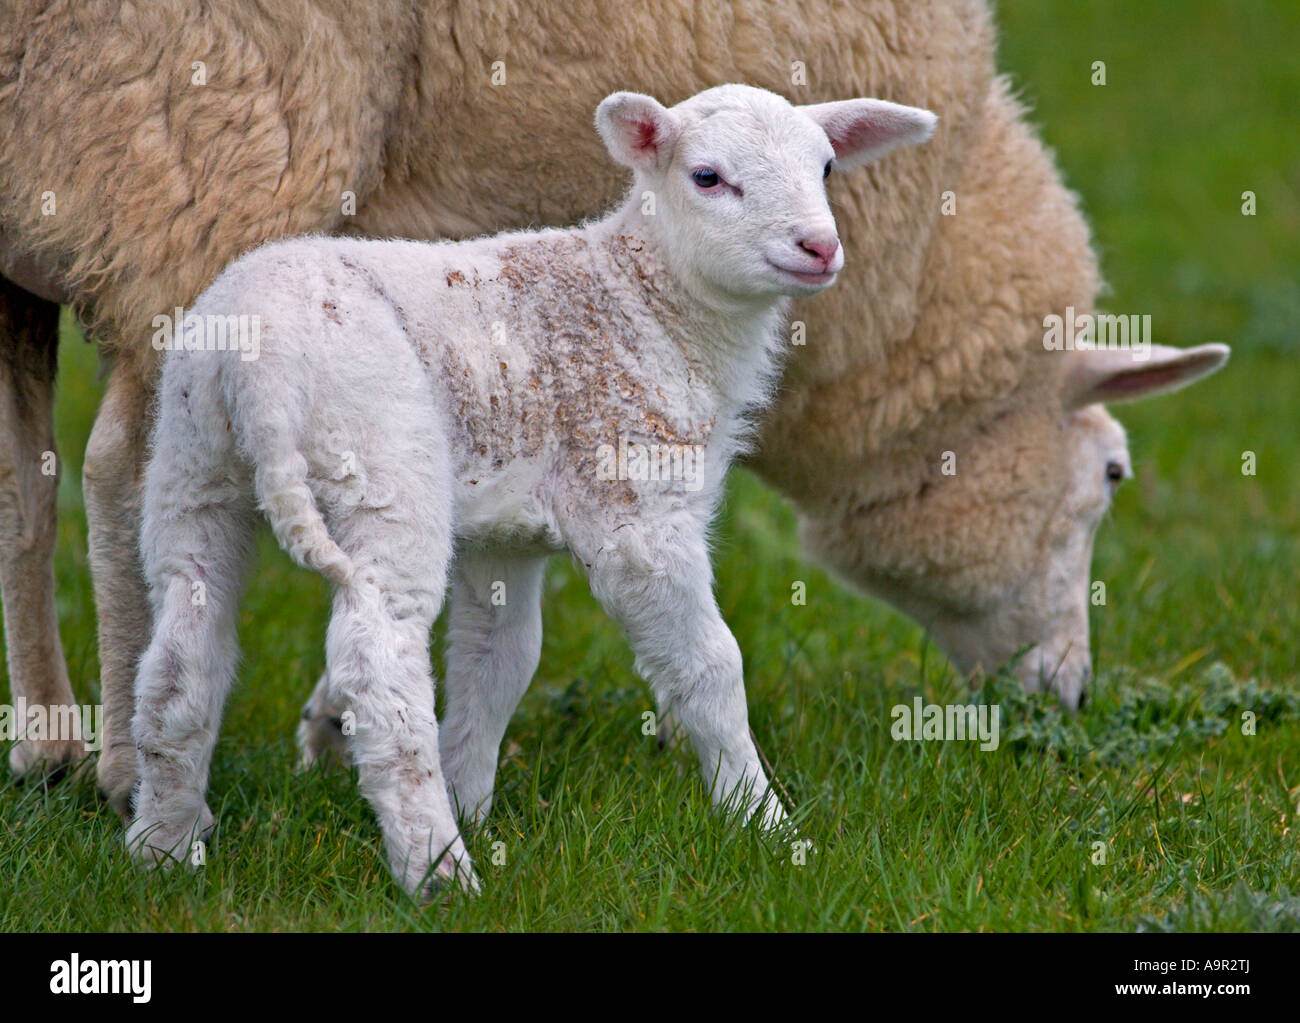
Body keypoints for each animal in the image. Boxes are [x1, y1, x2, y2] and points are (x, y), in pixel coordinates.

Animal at [0, 1, 1227, 799]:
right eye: (1109, 476)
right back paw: (125, 768)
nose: (1068, 693)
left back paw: (50, 741)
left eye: (828, 170)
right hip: (197, 130)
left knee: (30, 486)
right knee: (124, 476)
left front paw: (340, 730)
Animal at [126, 84, 939, 894]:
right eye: (708, 178)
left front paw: (472, 800)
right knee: (377, 660)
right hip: (382, 454)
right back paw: (438, 872)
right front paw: (762, 822)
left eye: (827, 167)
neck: (649, 302)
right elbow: (710, 667)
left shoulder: (506, 539)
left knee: (182, 654)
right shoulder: (638, 511)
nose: (819, 247)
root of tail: (256, 365)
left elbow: (498, 665)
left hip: (191, 460)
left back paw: (164, 848)